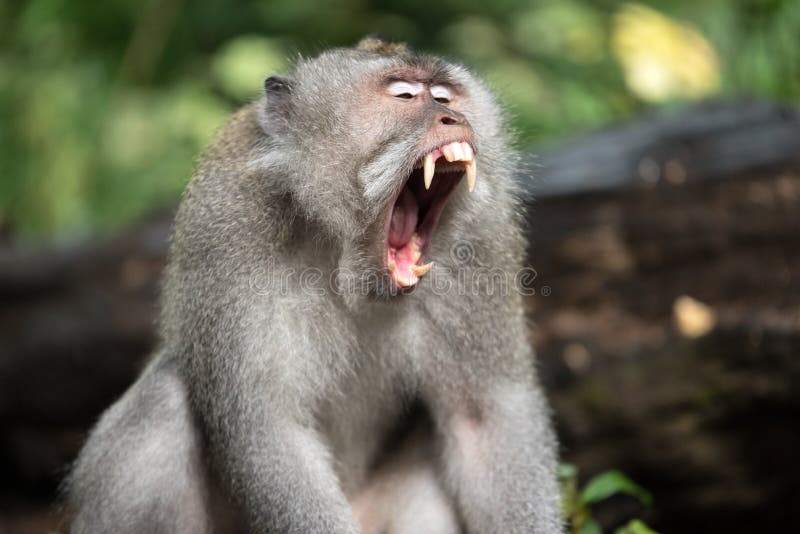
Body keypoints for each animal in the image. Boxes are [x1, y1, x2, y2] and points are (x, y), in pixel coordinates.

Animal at [66, 37, 563, 534]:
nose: (454, 119)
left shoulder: (484, 240)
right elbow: (269, 432)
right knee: (164, 402)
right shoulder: (230, 229)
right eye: (404, 95)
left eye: (444, 97)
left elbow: (483, 419)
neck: (342, 254)